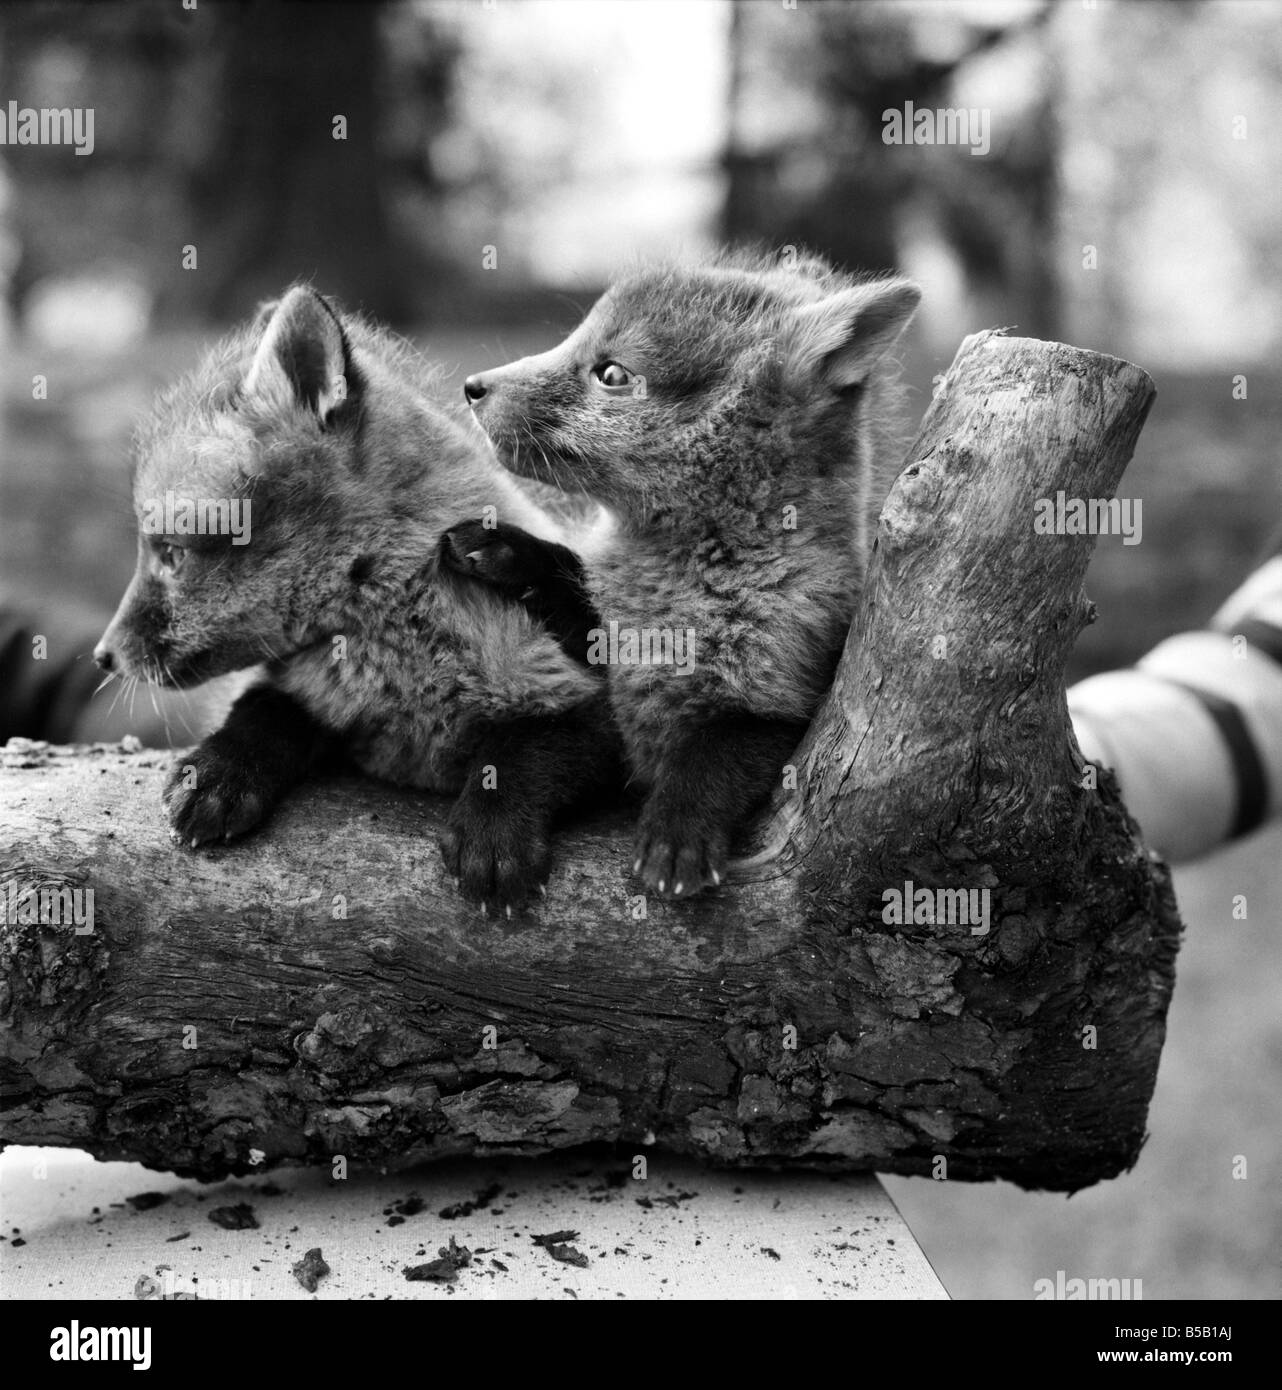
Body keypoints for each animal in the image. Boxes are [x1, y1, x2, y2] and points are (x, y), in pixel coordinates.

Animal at [93, 285, 622, 909]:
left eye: (170, 553)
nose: (103, 657)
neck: (398, 652)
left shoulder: (601, 705)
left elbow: (530, 748)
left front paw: (495, 829)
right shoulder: (309, 696)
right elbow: (265, 710)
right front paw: (219, 772)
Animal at [456, 249, 920, 899]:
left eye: (612, 374)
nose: (473, 386)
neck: (676, 597)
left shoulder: (784, 701)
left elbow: (712, 762)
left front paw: (677, 837)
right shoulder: (611, 699)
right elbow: (533, 744)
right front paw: (494, 821)